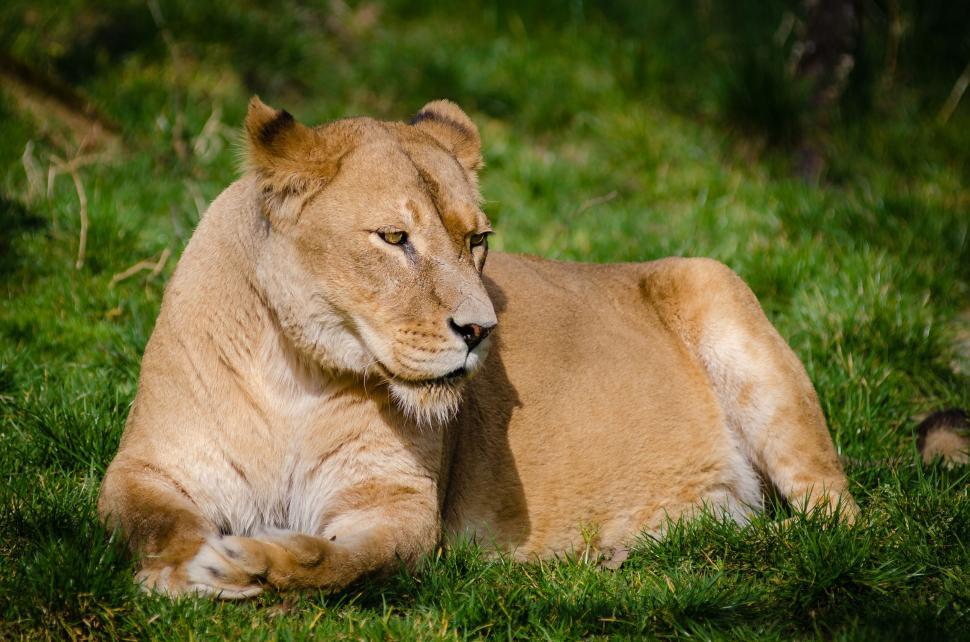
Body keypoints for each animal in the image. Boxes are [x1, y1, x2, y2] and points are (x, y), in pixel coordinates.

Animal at [98, 97, 859, 598]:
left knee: (840, 521)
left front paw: (249, 563)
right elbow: (154, 520)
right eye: (395, 239)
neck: (295, 373)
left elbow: (337, 561)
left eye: (477, 240)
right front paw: (182, 566)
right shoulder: (147, 467)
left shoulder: (397, 502)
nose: (481, 331)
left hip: (718, 289)